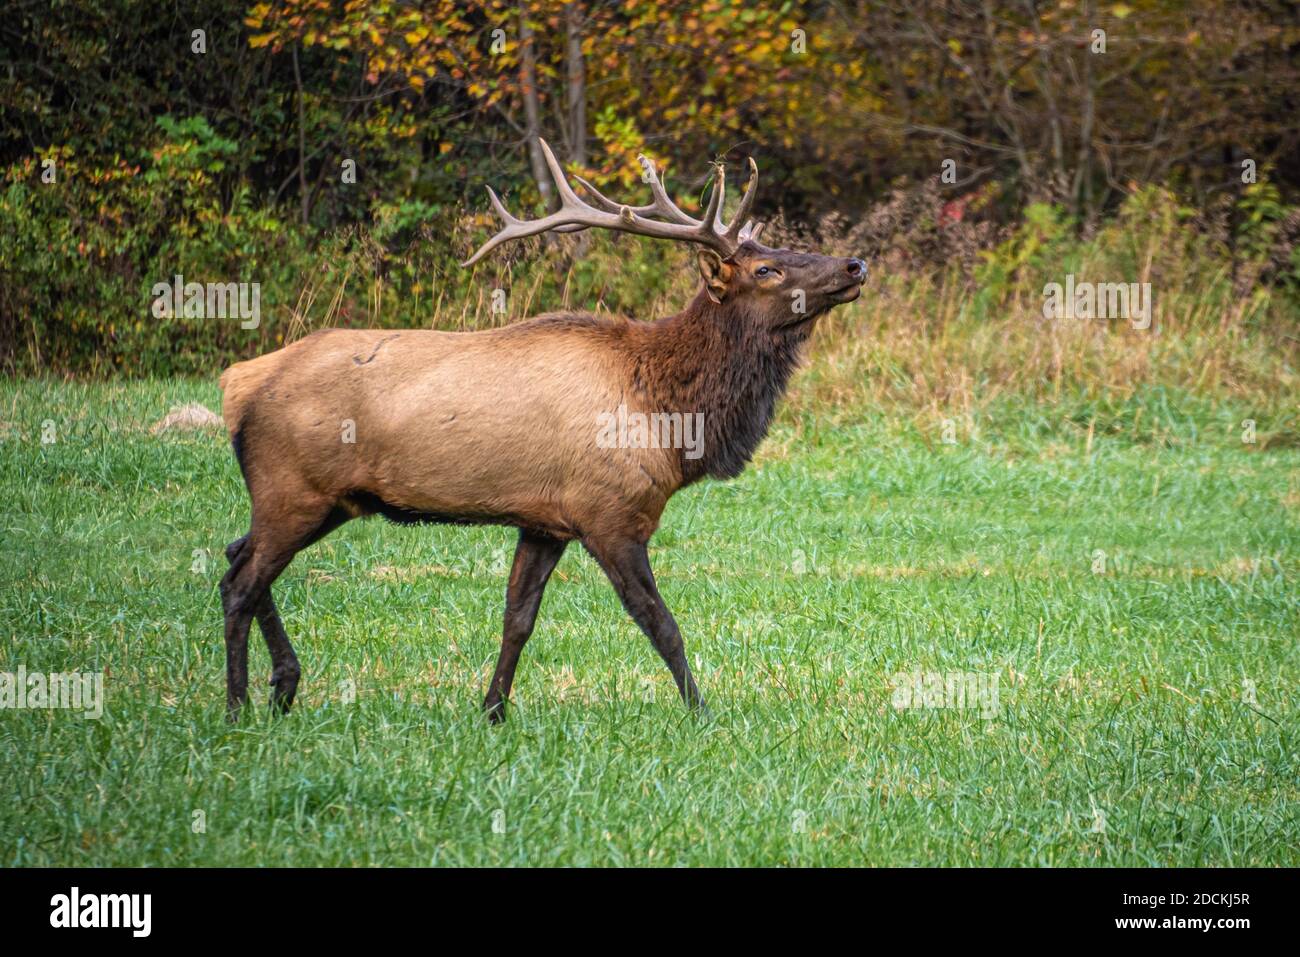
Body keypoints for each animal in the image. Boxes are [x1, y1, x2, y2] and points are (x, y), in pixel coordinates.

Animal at [218, 140, 866, 722]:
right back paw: (238, 705)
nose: (854, 264)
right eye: (766, 268)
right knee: (240, 581)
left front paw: (493, 710)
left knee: (234, 553)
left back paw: (284, 685)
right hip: (293, 488)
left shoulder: (544, 521)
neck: (669, 419)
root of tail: (237, 385)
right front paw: (702, 712)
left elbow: (518, 618)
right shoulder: (610, 514)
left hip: (322, 500)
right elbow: (660, 623)